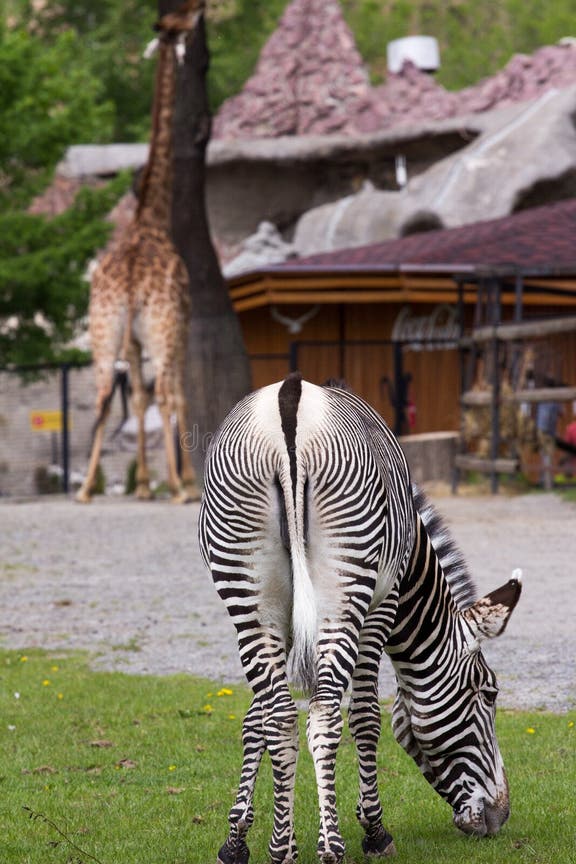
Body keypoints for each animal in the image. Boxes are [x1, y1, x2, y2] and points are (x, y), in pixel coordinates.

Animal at [198, 372, 521, 864]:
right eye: (489, 693)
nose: (500, 818)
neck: (415, 566)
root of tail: (289, 396)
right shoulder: (383, 603)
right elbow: (367, 716)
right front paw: (374, 831)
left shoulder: (284, 620)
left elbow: (255, 717)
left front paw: (238, 840)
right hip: (345, 589)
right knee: (326, 713)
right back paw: (332, 846)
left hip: (247, 591)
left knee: (280, 715)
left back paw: (281, 850)